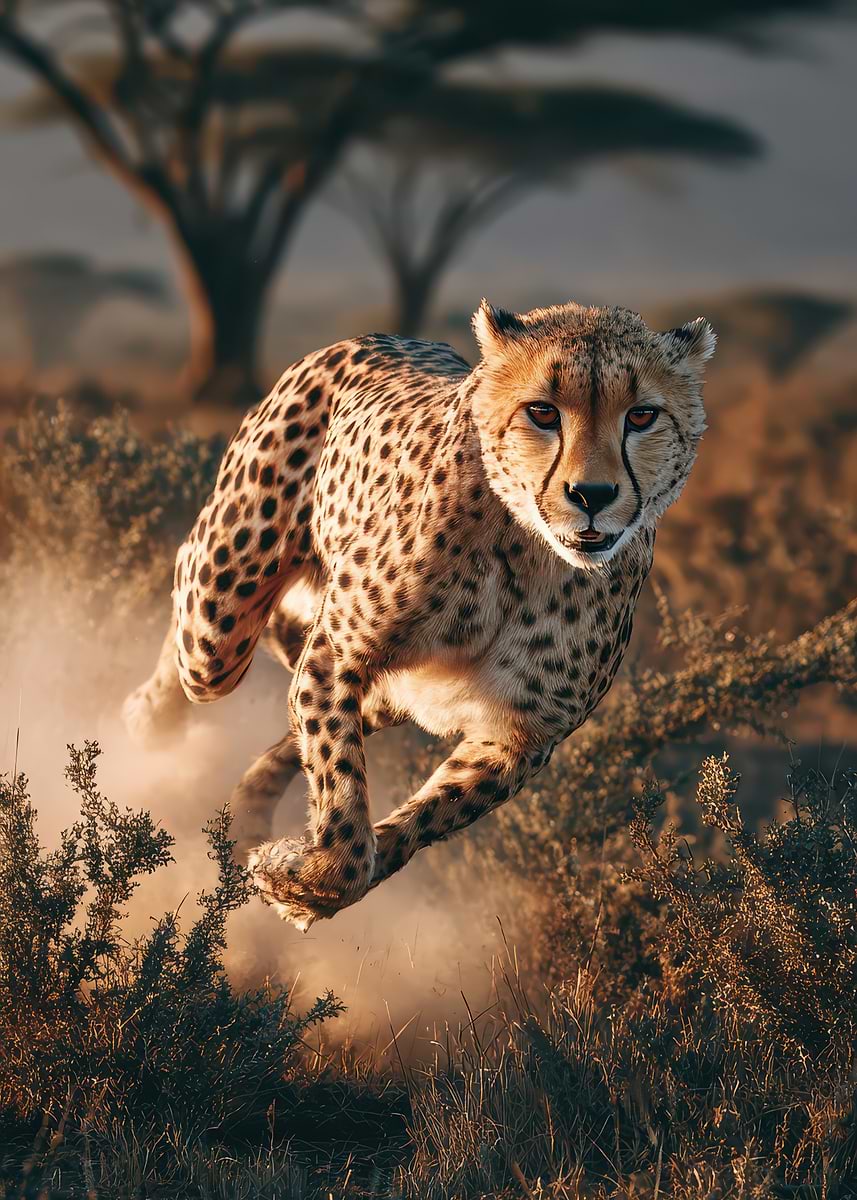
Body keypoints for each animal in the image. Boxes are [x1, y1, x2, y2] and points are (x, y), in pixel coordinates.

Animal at [122, 298, 716, 931]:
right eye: (542, 412)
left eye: (642, 416)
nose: (592, 495)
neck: (533, 554)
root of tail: (379, 336)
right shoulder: (338, 653)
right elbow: (342, 802)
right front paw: (305, 873)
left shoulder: (518, 736)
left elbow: (411, 828)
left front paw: (294, 876)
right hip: (221, 613)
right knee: (194, 600)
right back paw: (148, 724)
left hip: (388, 693)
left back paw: (249, 810)